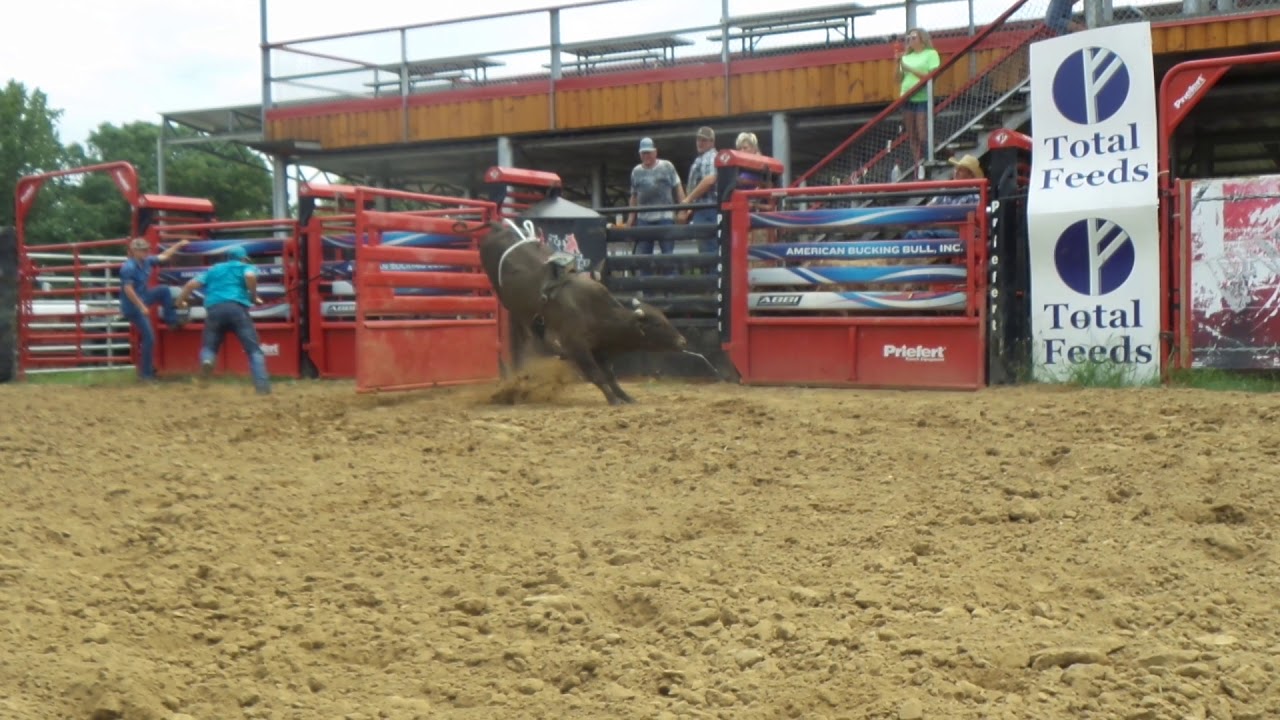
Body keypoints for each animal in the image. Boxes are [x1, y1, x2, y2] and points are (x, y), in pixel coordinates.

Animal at [477, 219, 689, 405]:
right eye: (657, 324)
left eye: (665, 318)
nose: (682, 341)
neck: (596, 311)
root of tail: (499, 228)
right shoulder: (577, 347)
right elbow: (596, 375)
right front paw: (613, 400)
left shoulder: (600, 347)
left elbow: (610, 375)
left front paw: (625, 397)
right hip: (506, 298)